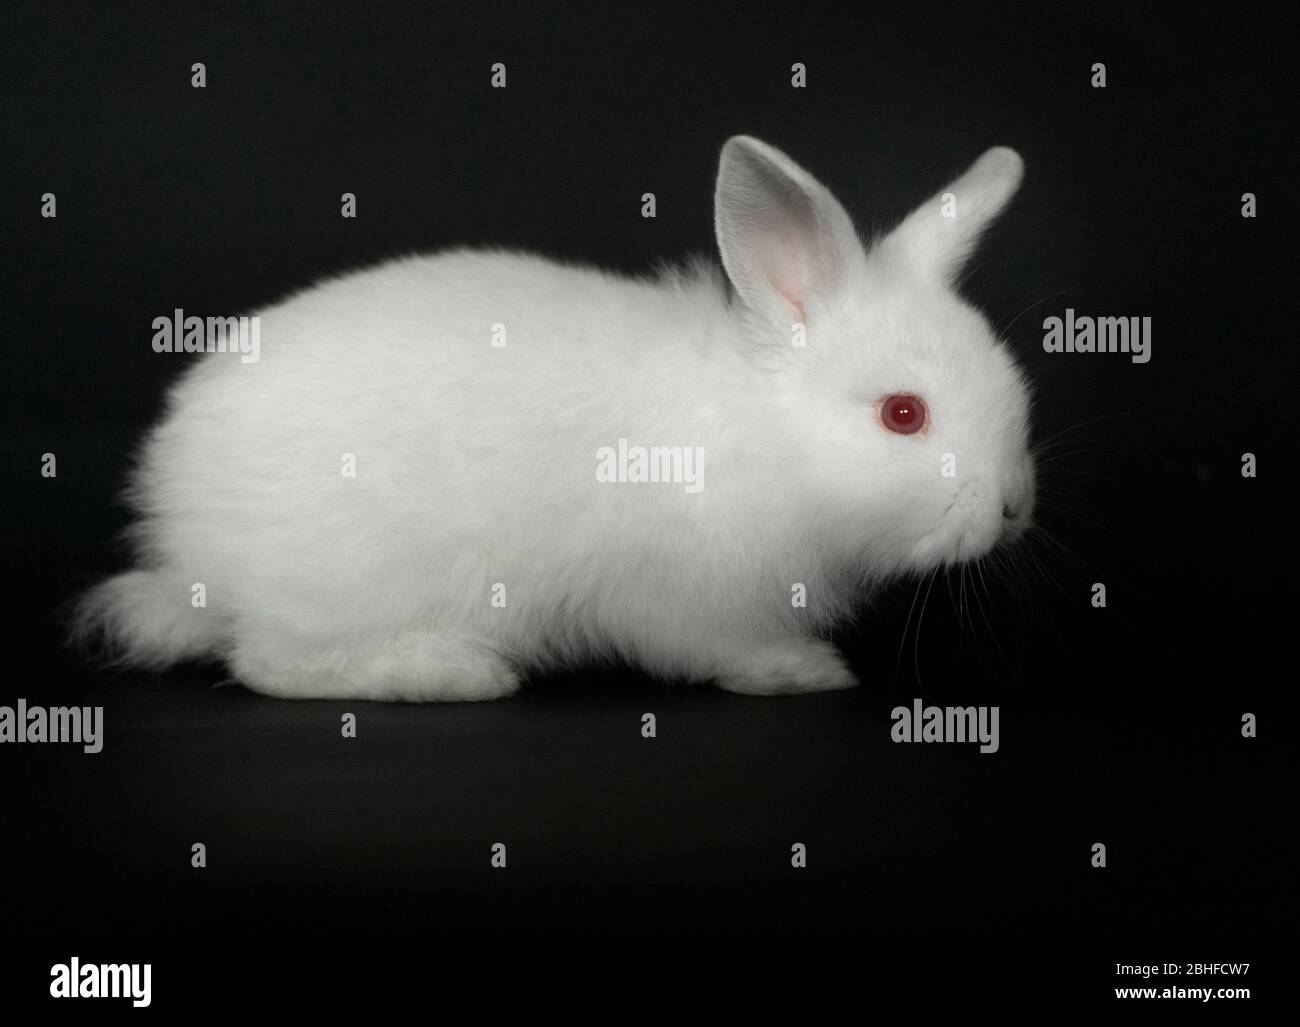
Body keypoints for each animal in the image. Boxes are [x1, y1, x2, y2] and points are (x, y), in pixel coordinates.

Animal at [71, 135, 1034, 701]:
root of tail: (187, 548)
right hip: (347, 580)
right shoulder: (690, 601)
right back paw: (451, 671)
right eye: (903, 415)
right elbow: (717, 649)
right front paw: (802, 670)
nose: (1012, 507)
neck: (762, 434)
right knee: (270, 664)